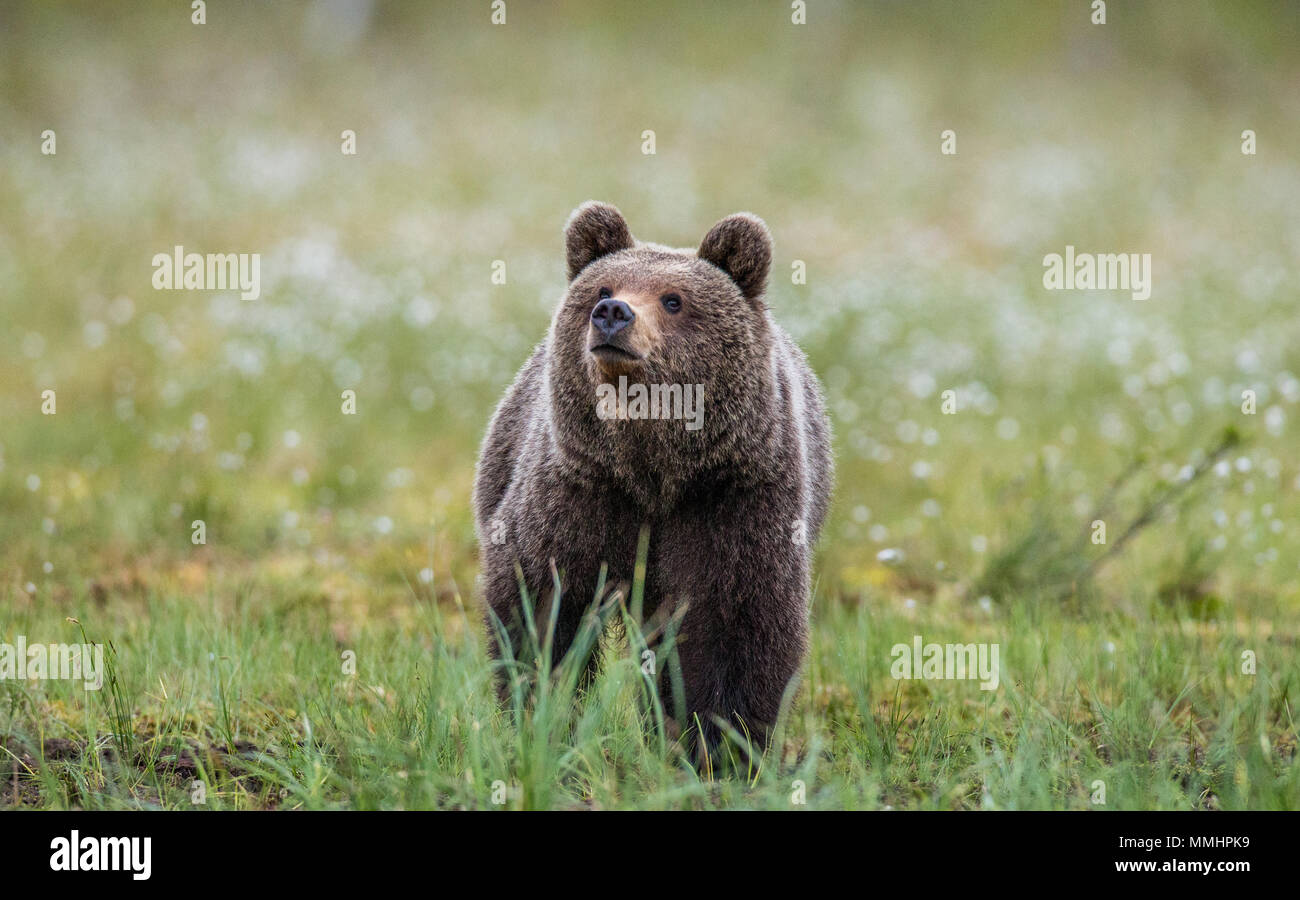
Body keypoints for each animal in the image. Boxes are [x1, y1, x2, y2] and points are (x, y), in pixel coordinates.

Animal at [473, 201, 833, 754]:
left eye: (673, 299)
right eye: (603, 286)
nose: (613, 313)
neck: (654, 472)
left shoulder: (731, 499)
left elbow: (733, 627)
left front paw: (720, 742)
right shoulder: (581, 491)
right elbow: (540, 602)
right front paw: (544, 719)